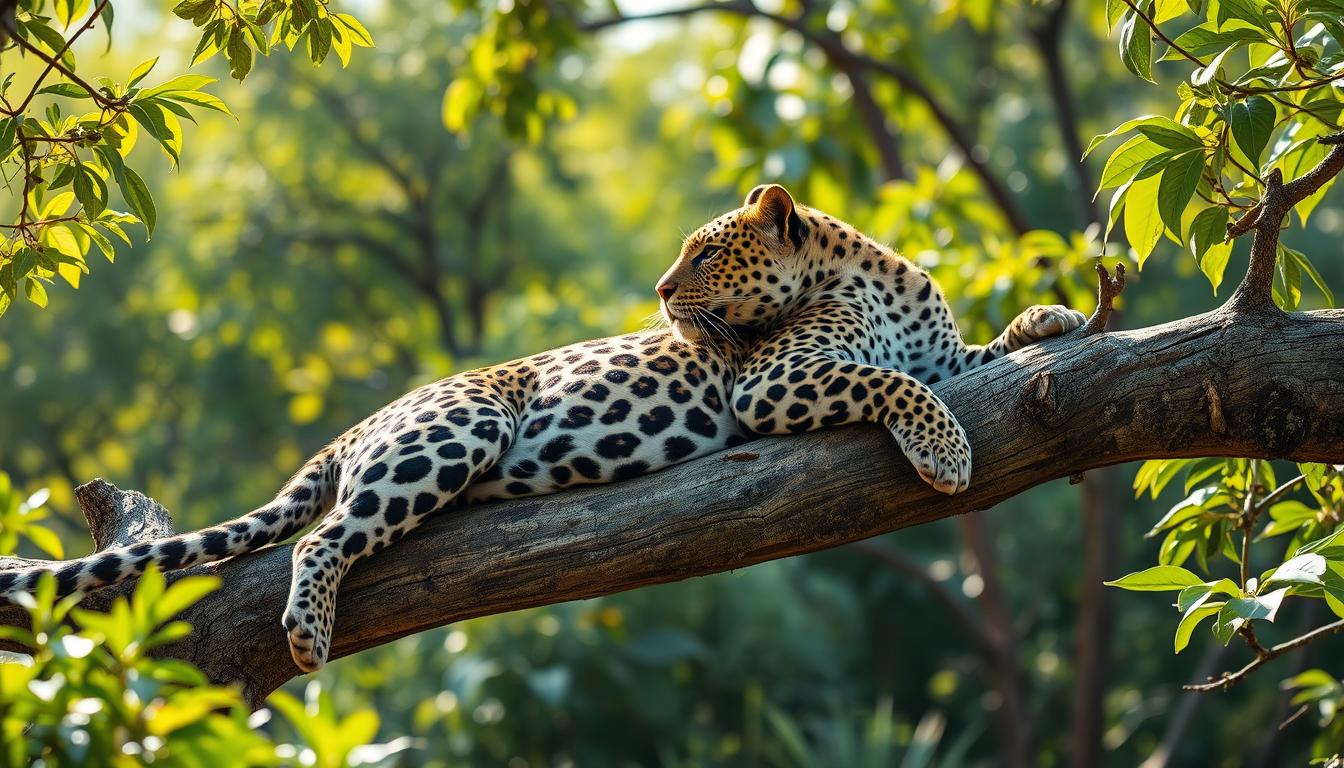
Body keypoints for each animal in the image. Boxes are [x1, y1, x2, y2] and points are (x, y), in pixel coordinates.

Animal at [0, 184, 1085, 672]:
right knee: (321, 537)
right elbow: (891, 384)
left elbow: (971, 358)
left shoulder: (943, 360)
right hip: (454, 430)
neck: (873, 273)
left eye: (704, 253)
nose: (660, 291)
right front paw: (946, 455)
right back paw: (307, 633)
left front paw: (1056, 318)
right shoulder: (775, 384)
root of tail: (353, 428)